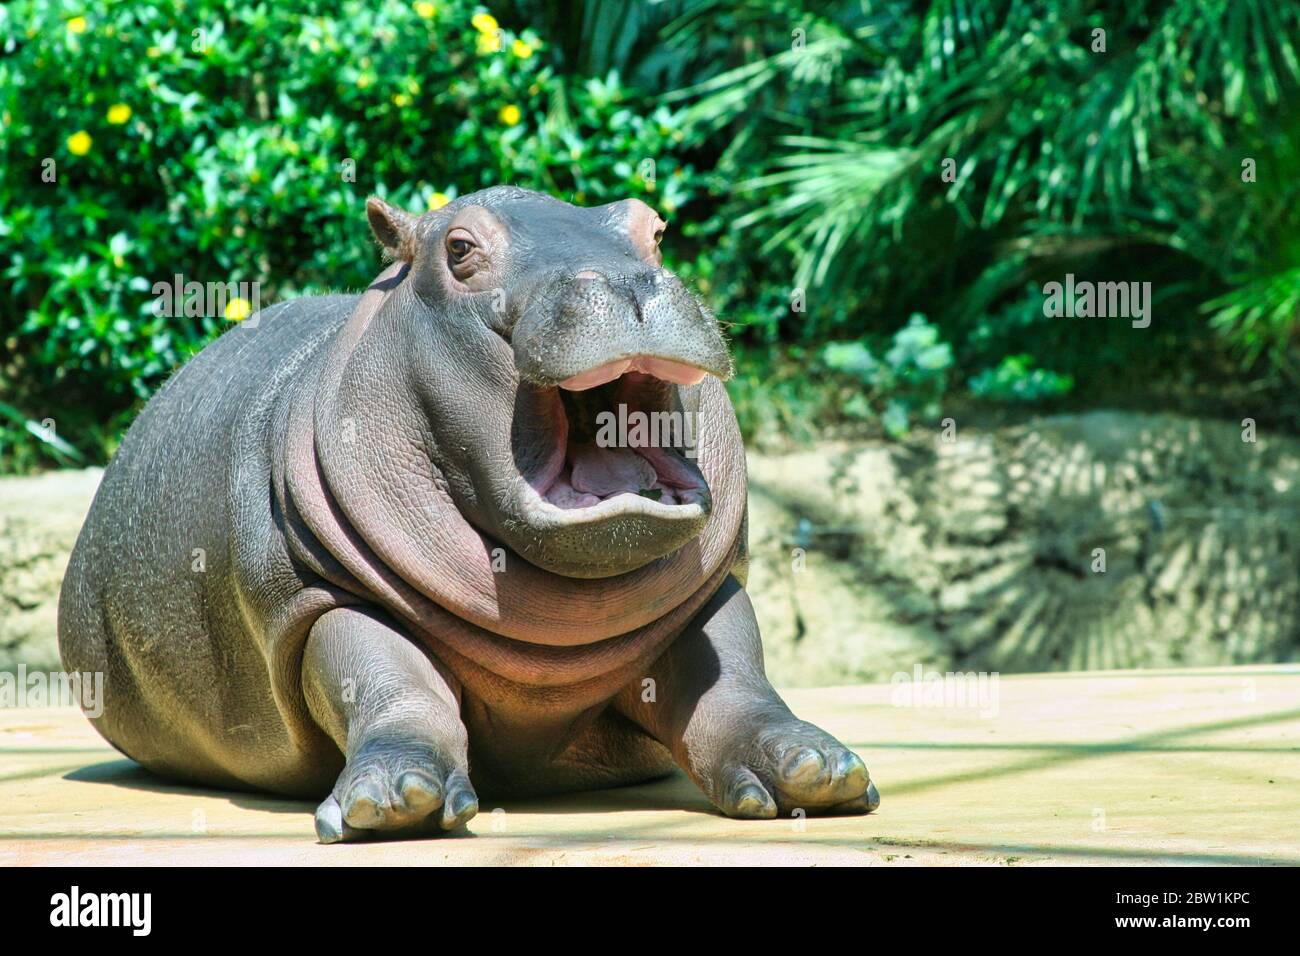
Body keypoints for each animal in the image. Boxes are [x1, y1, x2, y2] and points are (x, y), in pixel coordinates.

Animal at [58, 186, 878, 842]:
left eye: (655, 228)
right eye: (459, 249)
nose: (630, 283)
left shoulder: (708, 592)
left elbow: (733, 677)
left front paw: (816, 771)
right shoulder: (315, 593)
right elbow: (389, 681)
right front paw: (396, 800)